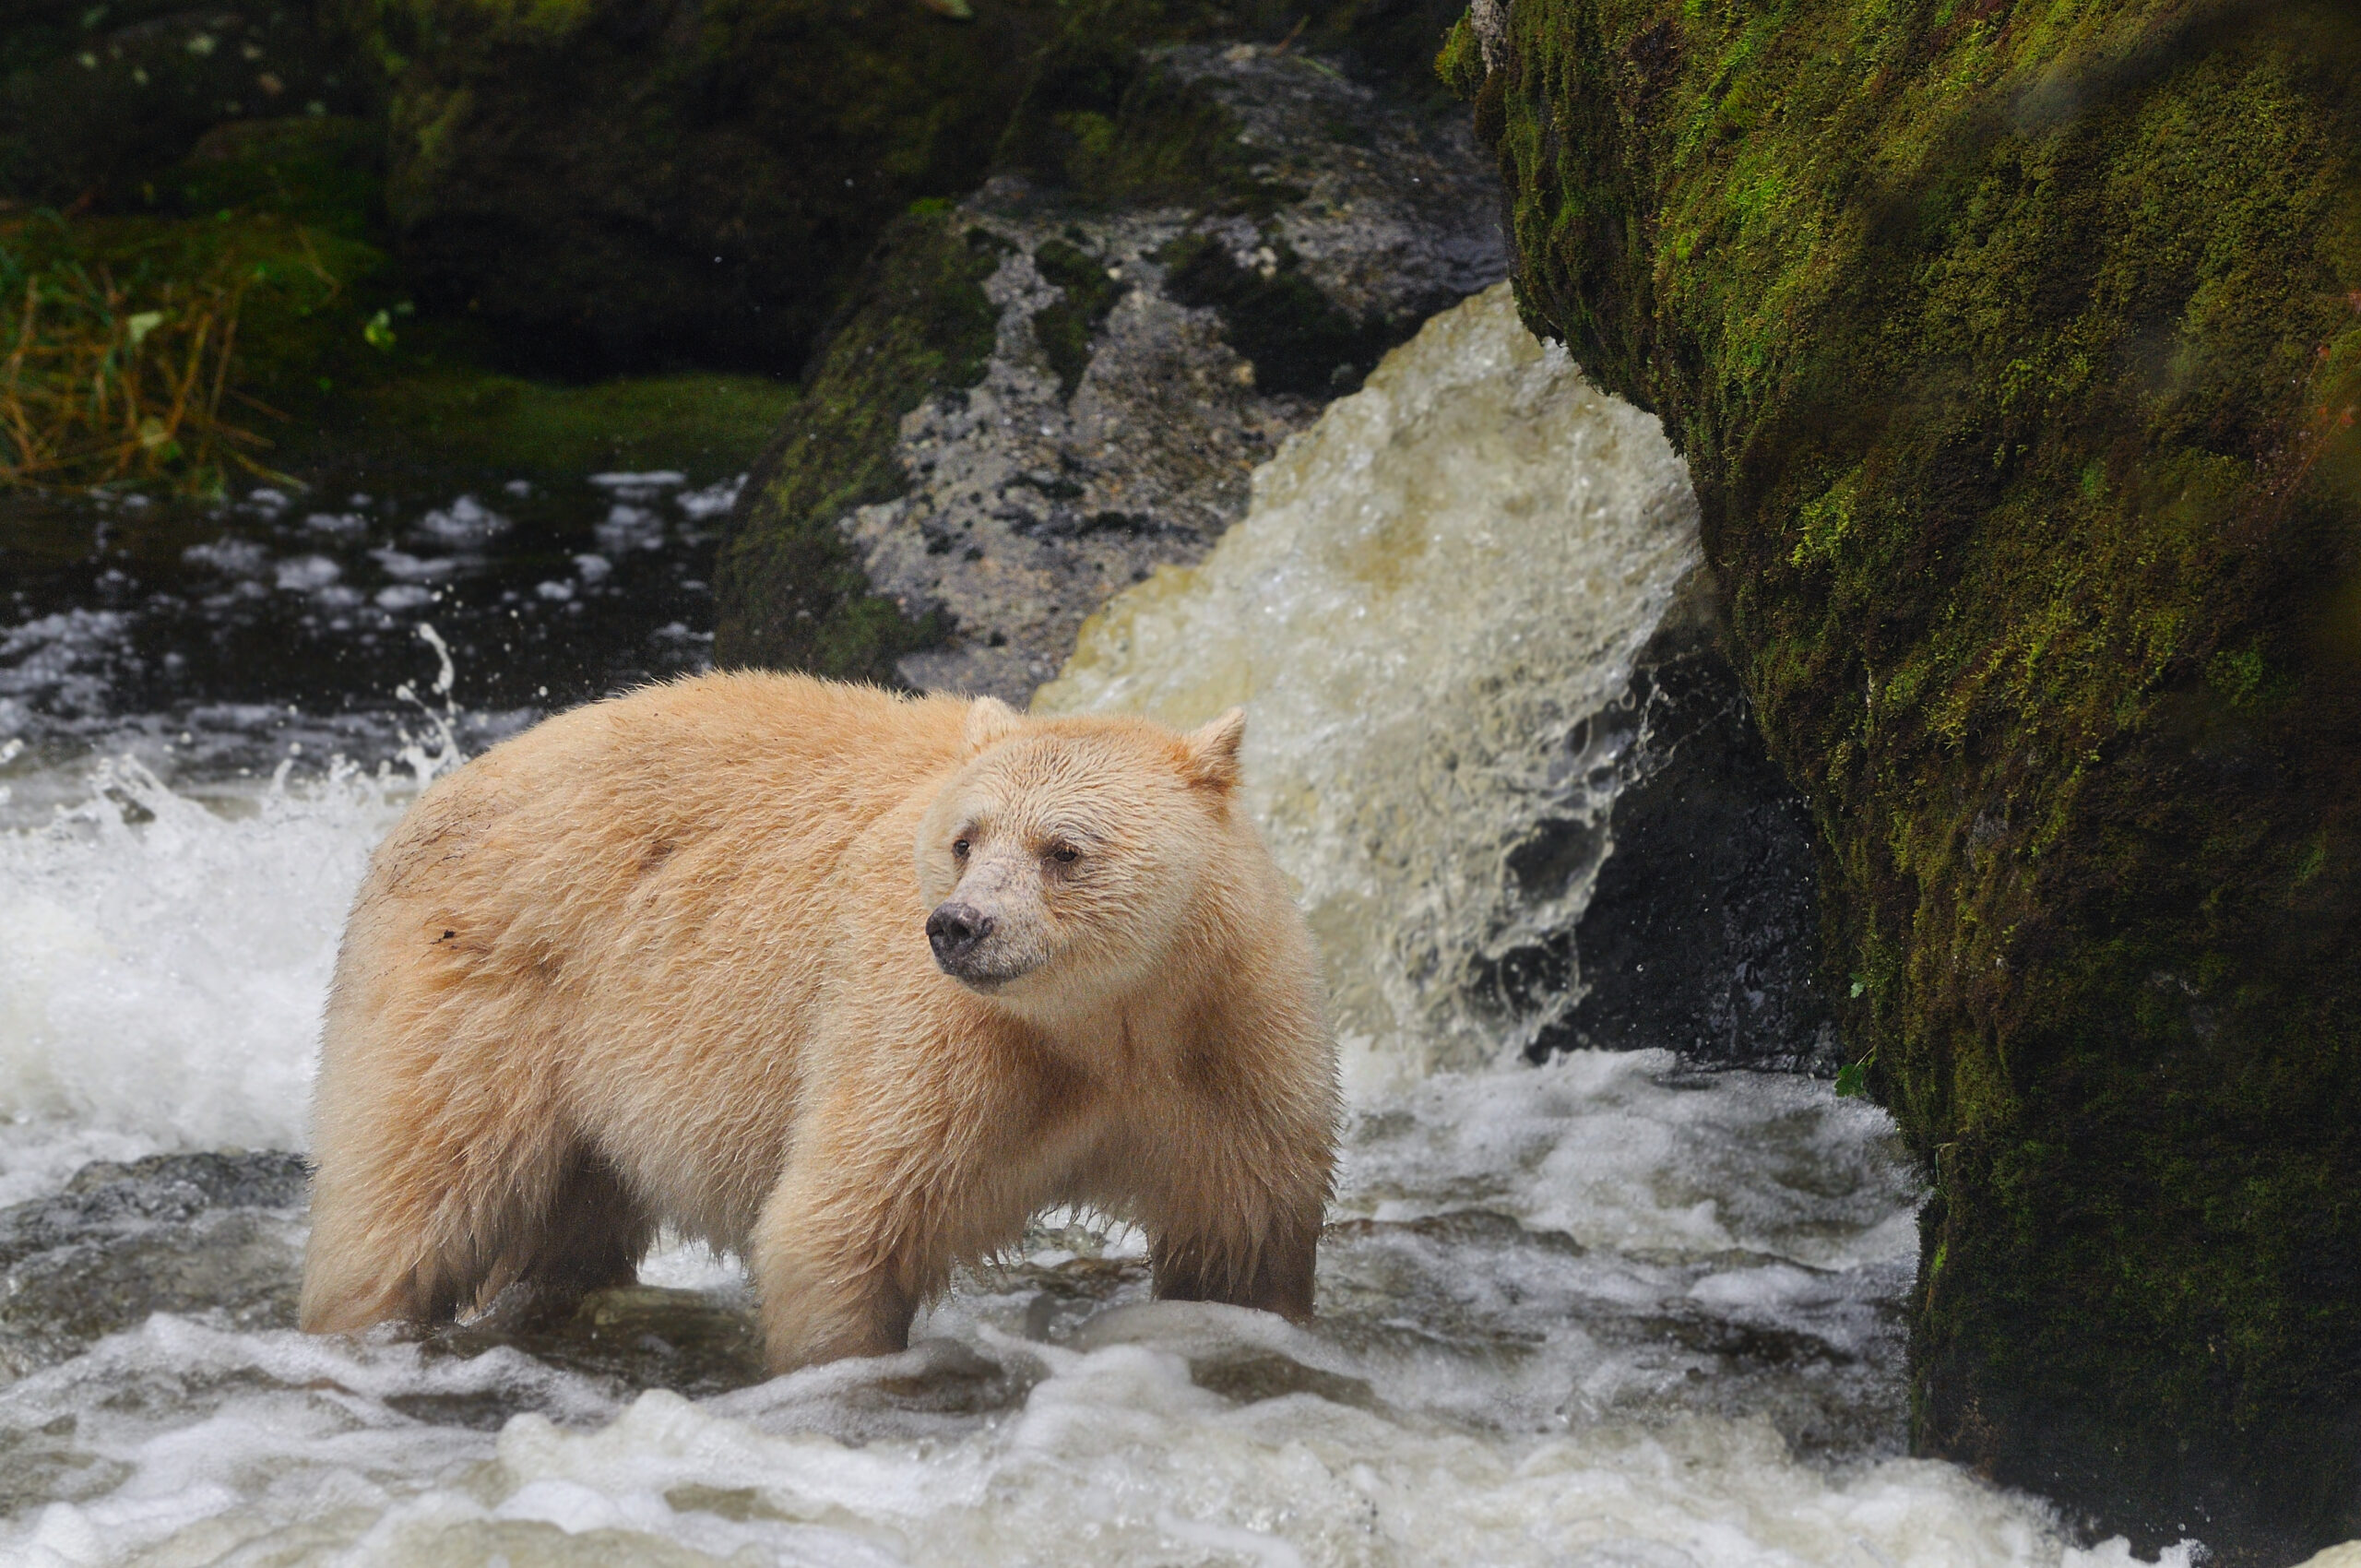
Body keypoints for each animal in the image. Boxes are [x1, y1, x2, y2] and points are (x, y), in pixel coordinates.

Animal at [298, 671, 1338, 1371]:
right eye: (964, 839)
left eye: (1065, 849)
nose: (961, 924)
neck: (1104, 1019)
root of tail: (433, 793)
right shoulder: (940, 1041)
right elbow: (842, 1220)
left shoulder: (1227, 1040)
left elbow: (1243, 1235)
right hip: (484, 999)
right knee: (413, 1196)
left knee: (568, 1228)